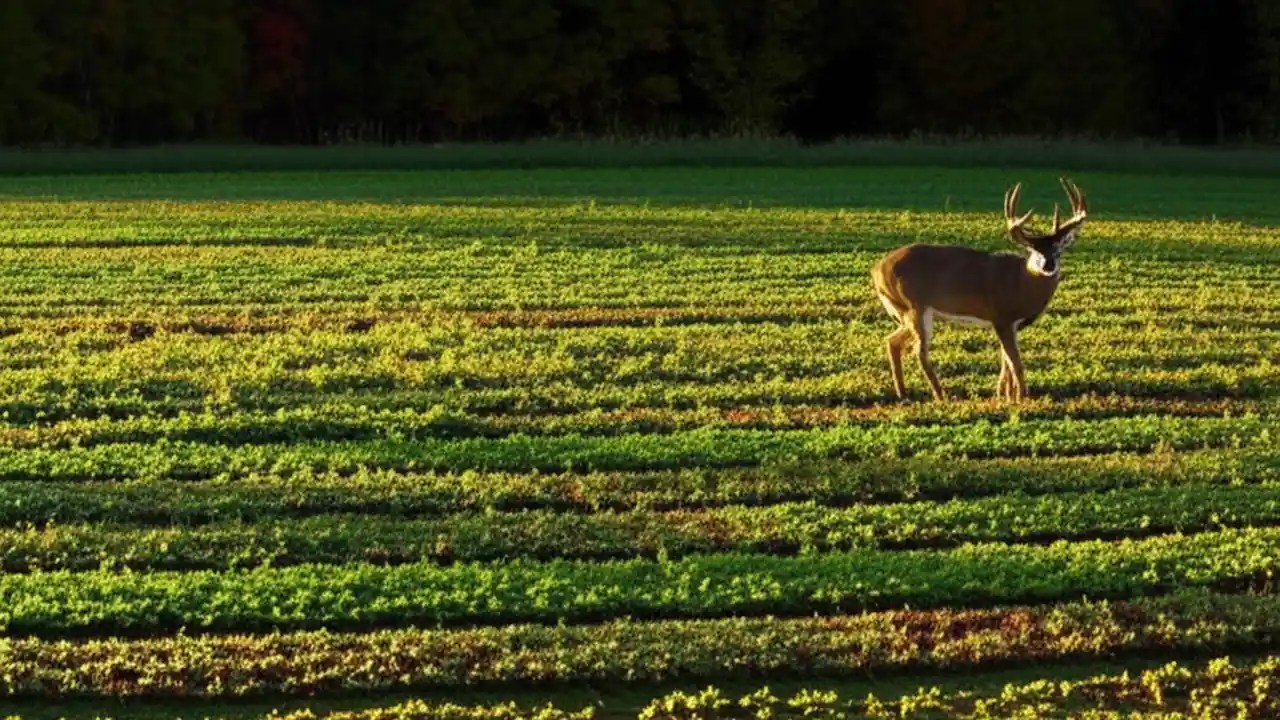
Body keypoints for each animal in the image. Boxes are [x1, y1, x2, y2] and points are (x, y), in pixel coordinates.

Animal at [870, 178, 1087, 401]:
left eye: (1058, 250)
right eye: (1033, 251)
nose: (1048, 265)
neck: (1022, 285)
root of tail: (877, 270)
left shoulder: (1010, 324)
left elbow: (1005, 361)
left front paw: (1004, 395)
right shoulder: (1001, 316)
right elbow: (1015, 362)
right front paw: (1021, 397)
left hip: (906, 311)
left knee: (892, 341)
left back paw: (902, 392)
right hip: (916, 305)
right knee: (920, 351)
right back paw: (941, 395)